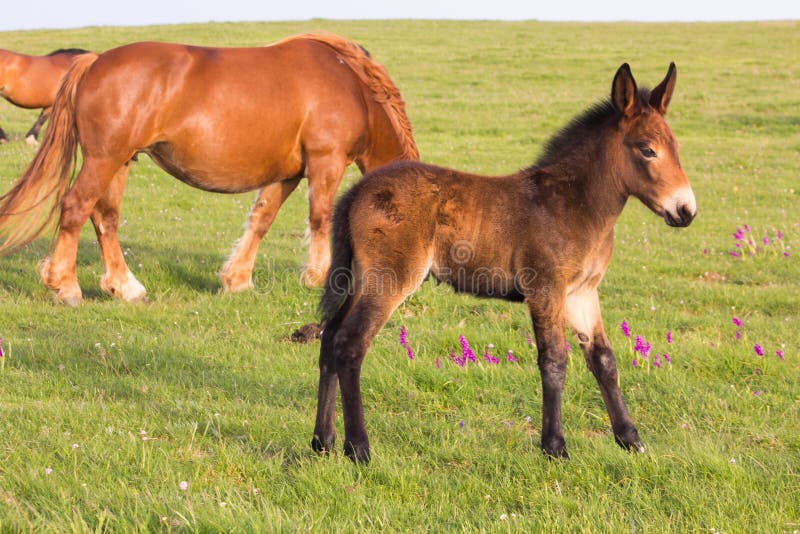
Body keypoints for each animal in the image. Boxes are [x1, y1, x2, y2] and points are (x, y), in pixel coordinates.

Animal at [0, 33, 418, 306]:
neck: (351, 85)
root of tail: (94, 62)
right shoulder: (325, 160)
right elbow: (320, 218)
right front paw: (318, 277)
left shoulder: (286, 174)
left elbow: (261, 220)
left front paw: (237, 280)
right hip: (105, 159)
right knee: (76, 208)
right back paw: (65, 287)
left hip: (119, 162)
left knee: (105, 217)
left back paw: (126, 288)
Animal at [312, 63, 697, 464]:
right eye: (648, 150)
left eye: (675, 148)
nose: (686, 210)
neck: (573, 204)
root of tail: (358, 190)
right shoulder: (546, 288)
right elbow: (554, 360)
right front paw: (554, 446)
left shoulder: (582, 292)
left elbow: (603, 359)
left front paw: (630, 438)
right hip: (390, 278)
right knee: (351, 344)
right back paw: (358, 447)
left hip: (362, 278)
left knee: (330, 337)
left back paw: (323, 441)